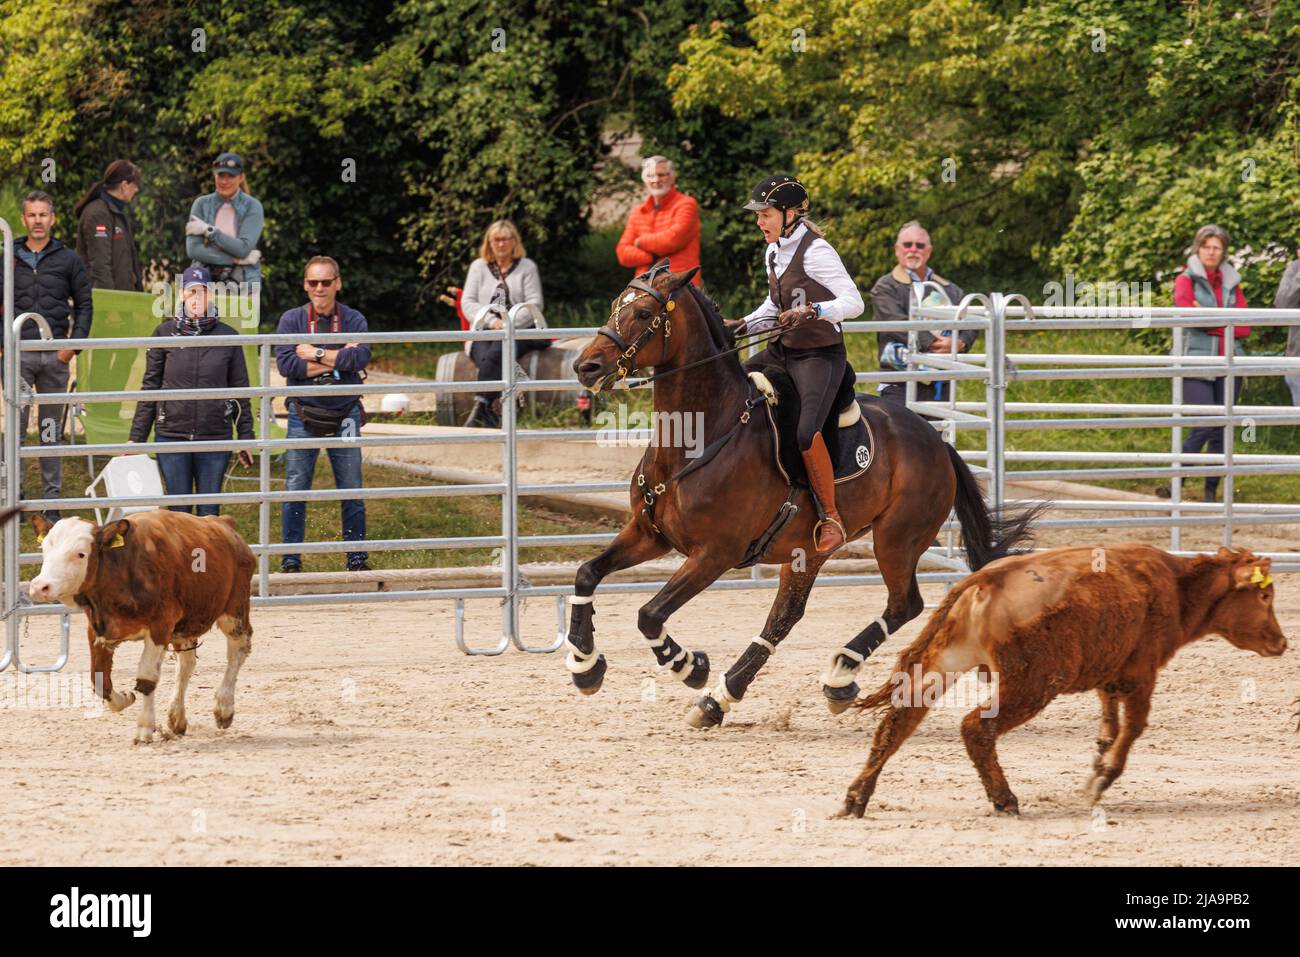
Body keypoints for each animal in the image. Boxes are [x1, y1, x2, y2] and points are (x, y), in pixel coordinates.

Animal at [28, 510, 256, 744]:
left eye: (80, 554)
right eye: (44, 549)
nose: (40, 587)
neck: (122, 568)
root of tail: (225, 524)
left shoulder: (160, 627)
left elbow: (147, 679)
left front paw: (145, 727)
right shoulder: (97, 630)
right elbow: (100, 681)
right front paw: (125, 698)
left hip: (235, 610)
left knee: (238, 649)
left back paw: (224, 707)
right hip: (184, 628)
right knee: (186, 664)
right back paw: (177, 717)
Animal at [565, 264, 1038, 728]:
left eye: (644, 314)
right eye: (615, 305)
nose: (585, 366)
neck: (699, 437)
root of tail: (935, 440)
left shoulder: (714, 554)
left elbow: (650, 614)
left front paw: (689, 665)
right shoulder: (650, 534)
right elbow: (587, 574)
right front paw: (585, 665)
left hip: (896, 541)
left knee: (905, 604)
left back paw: (835, 675)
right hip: (807, 553)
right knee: (785, 618)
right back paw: (724, 698)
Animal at [840, 544, 1287, 818]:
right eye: (1264, 596)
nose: (1281, 642)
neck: (1176, 587)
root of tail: (985, 580)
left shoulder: (1110, 676)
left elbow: (1109, 727)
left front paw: (1098, 763)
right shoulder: (1141, 674)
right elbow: (1132, 729)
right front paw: (1102, 780)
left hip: (944, 662)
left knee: (896, 724)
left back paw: (856, 797)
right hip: (1032, 684)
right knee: (976, 727)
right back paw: (1004, 799)